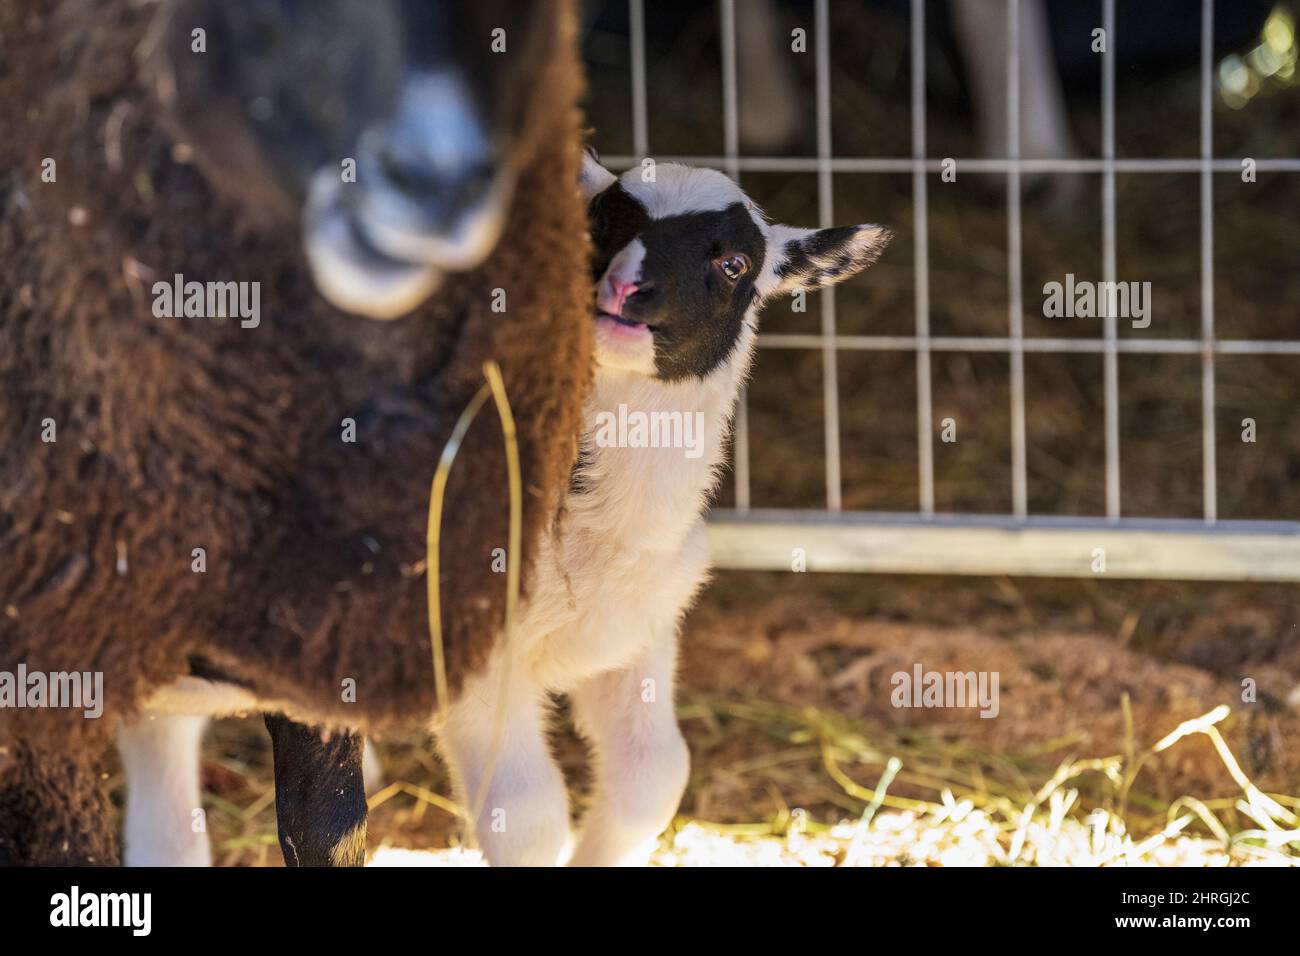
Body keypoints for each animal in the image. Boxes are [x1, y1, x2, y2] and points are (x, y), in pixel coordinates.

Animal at [431, 154, 891, 866]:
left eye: (733, 263)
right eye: (601, 221)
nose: (626, 290)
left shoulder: (636, 632)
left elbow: (654, 778)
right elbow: (527, 815)